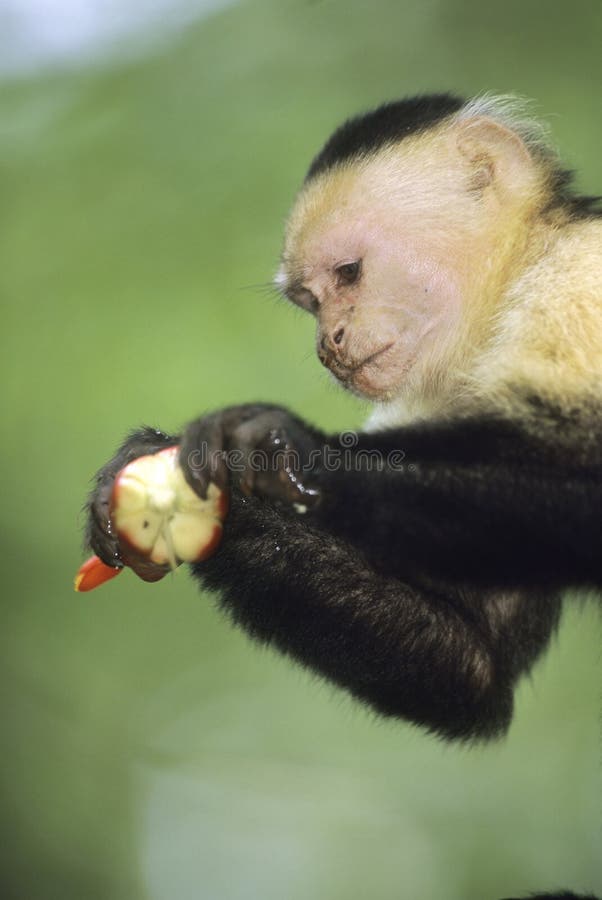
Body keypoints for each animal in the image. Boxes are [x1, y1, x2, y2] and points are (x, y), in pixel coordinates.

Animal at [87, 92, 602, 744]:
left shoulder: (578, 280)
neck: (519, 273)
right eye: (310, 301)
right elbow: (474, 663)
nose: (327, 345)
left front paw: (283, 450)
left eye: (350, 272)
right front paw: (225, 510)